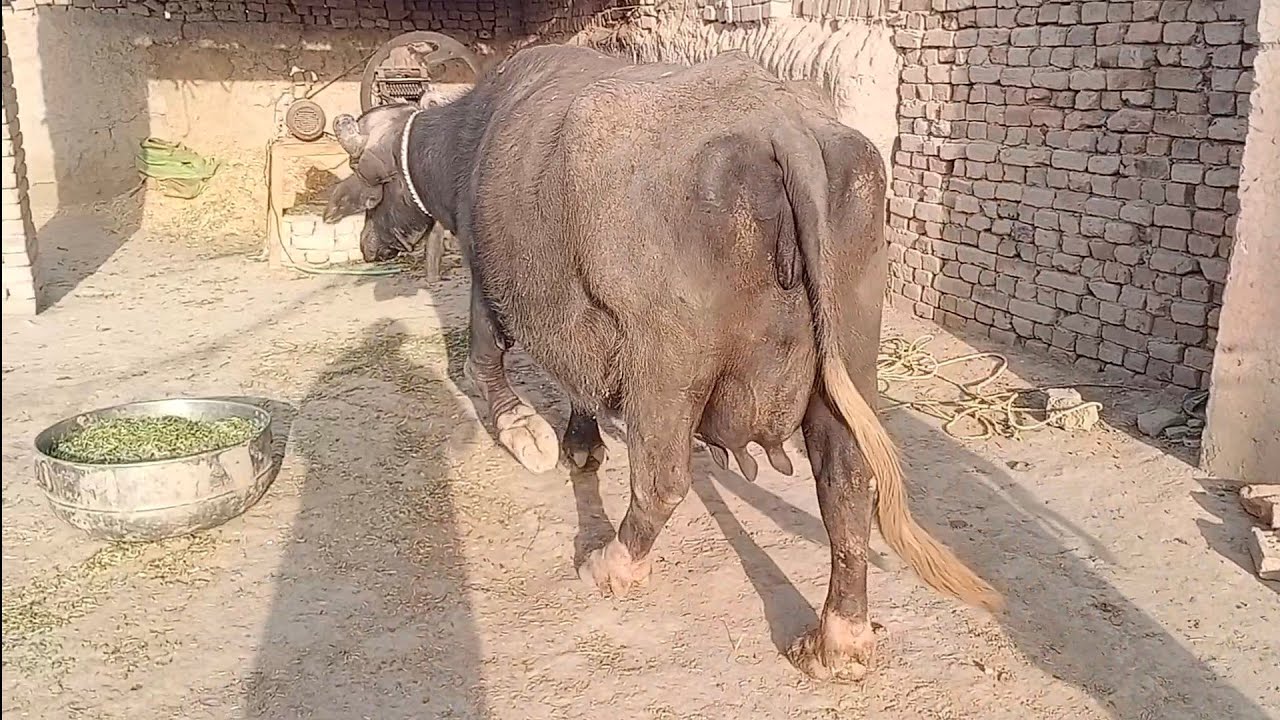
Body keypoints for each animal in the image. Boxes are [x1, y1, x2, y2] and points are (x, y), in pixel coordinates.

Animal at [324, 44, 1002, 681]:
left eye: (365, 176)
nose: (367, 245)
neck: (473, 139)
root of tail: (783, 125)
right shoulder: (587, 323)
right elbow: (581, 384)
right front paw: (579, 444)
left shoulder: (489, 276)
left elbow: (484, 357)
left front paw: (528, 435)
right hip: (850, 361)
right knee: (847, 483)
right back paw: (839, 642)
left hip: (669, 365)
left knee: (664, 479)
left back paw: (614, 564)